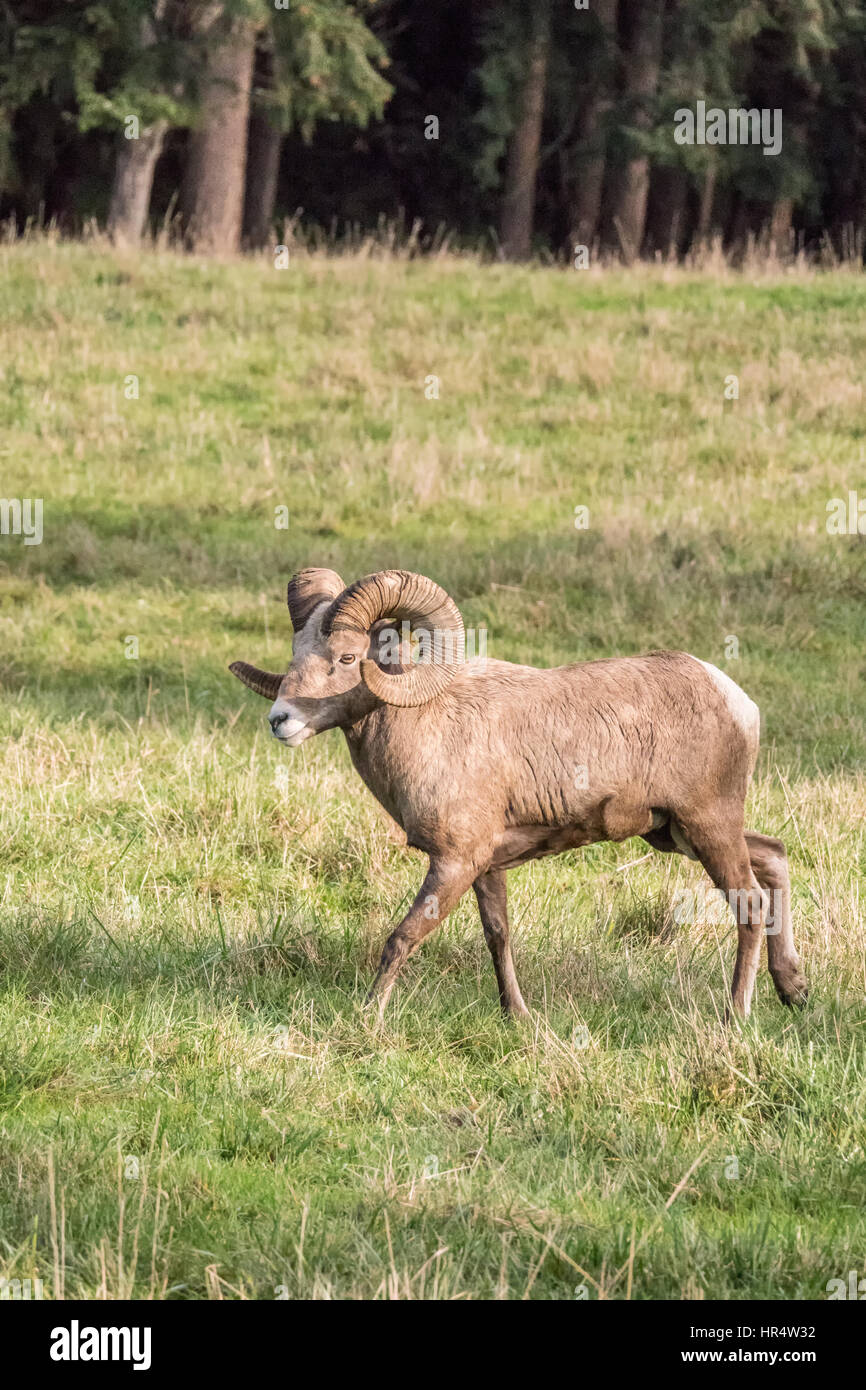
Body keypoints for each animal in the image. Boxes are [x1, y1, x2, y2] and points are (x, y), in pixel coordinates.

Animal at [230, 567, 808, 1021]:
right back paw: (794, 990)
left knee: (750, 903)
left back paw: (737, 1015)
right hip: (676, 833)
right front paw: (518, 1016)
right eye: (296, 654)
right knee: (774, 856)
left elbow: (402, 938)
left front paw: (367, 1017)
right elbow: (498, 937)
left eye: (348, 658)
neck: (428, 725)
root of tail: (736, 699)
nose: (281, 720)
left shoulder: (455, 862)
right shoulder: (487, 867)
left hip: (707, 827)